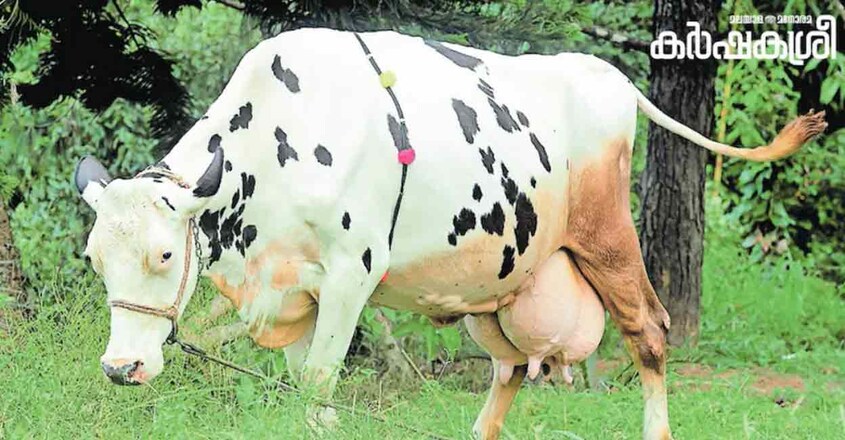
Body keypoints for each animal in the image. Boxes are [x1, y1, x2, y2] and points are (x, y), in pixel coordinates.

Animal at [74, 28, 826, 439]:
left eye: (163, 252)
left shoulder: (350, 274)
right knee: (510, 367)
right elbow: (299, 386)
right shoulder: (290, 292)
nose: (119, 367)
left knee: (649, 331)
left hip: (607, 234)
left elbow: (317, 383)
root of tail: (601, 73)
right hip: (500, 284)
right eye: (95, 260)